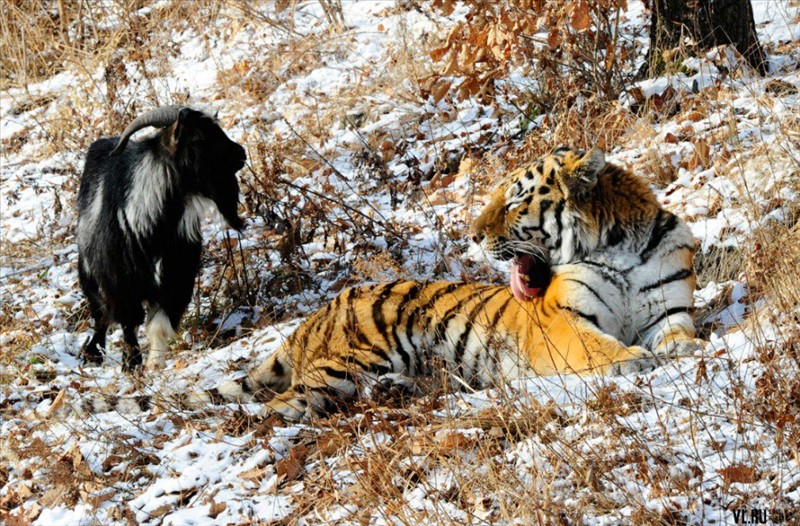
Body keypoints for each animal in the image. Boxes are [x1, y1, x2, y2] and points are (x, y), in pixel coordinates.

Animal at [77, 106, 246, 371]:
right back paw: (93, 352)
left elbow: (159, 323)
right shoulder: (120, 282)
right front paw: (131, 363)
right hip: (90, 275)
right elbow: (128, 322)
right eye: (196, 136)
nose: (241, 154)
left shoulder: (175, 279)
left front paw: (154, 363)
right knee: (101, 314)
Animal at [201, 146, 701, 421]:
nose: (473, 234)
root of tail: (317, 314)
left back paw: (396, 390)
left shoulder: (669, 309)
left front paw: (684, 349)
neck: (620, 247)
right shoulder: (559, 323)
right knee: (276, 406)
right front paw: (632, 359)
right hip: (346, 365)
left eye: (514, 202)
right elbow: (594, 345)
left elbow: (677, 332)